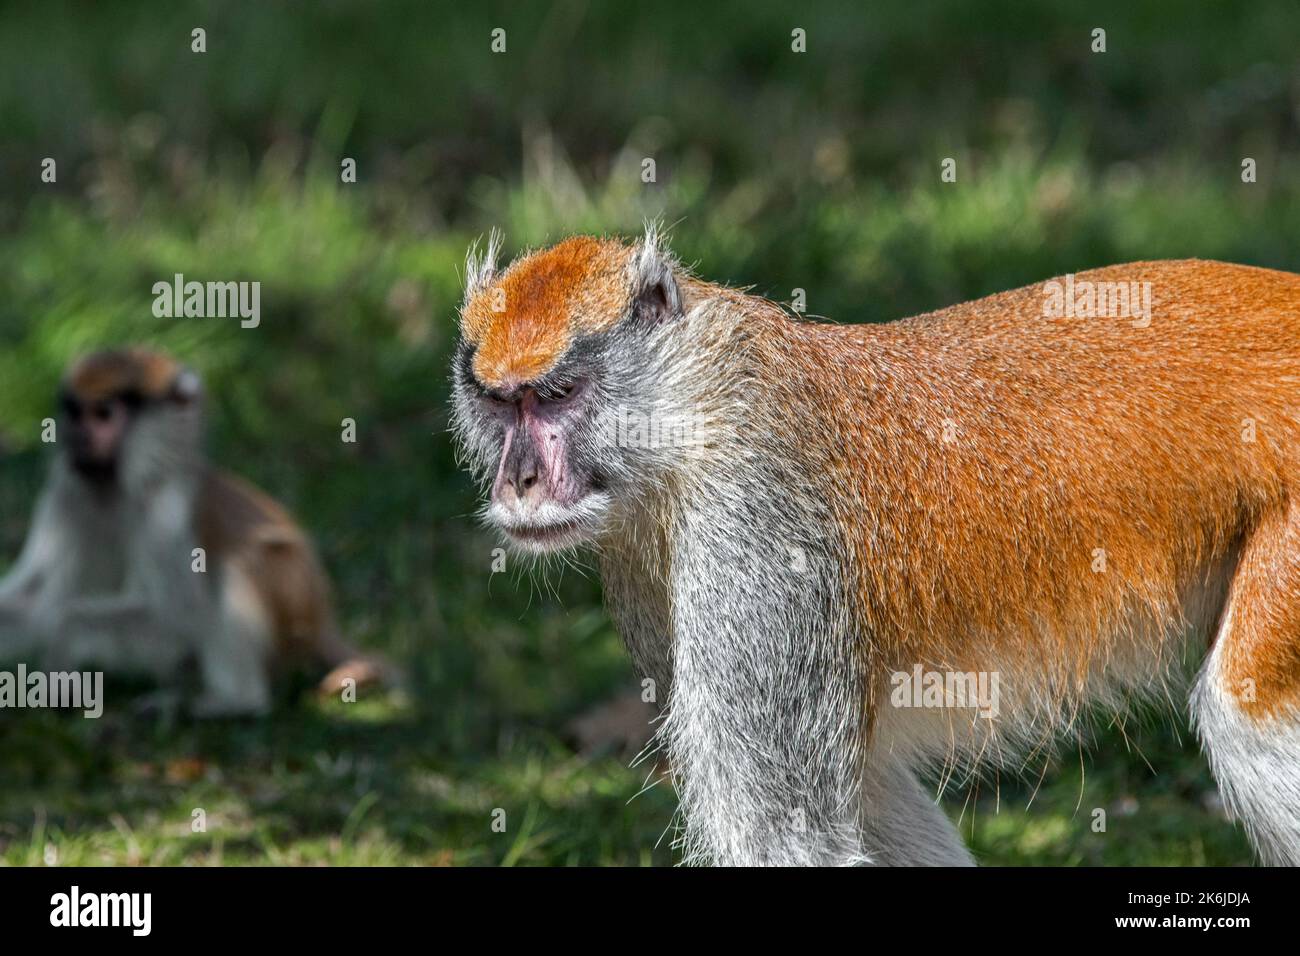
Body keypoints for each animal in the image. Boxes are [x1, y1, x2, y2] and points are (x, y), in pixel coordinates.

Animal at [0, 348, 386, 716]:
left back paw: (235, 702)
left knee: (235, 564)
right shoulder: (68, 493)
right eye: (75, 413)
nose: (76, 439)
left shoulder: (164, 508)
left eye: (103, 414)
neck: (117, 487)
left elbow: (181, 616)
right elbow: (33, 595)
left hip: (290, 611)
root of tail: (321, 615)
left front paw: (60, 642)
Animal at [450, 226, 1300, 866]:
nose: (521, 480)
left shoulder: (758, 540)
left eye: (559, 395)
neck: (697, 404)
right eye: (500, 404)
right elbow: (875, 798)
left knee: (1247, 723)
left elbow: (789, 838)